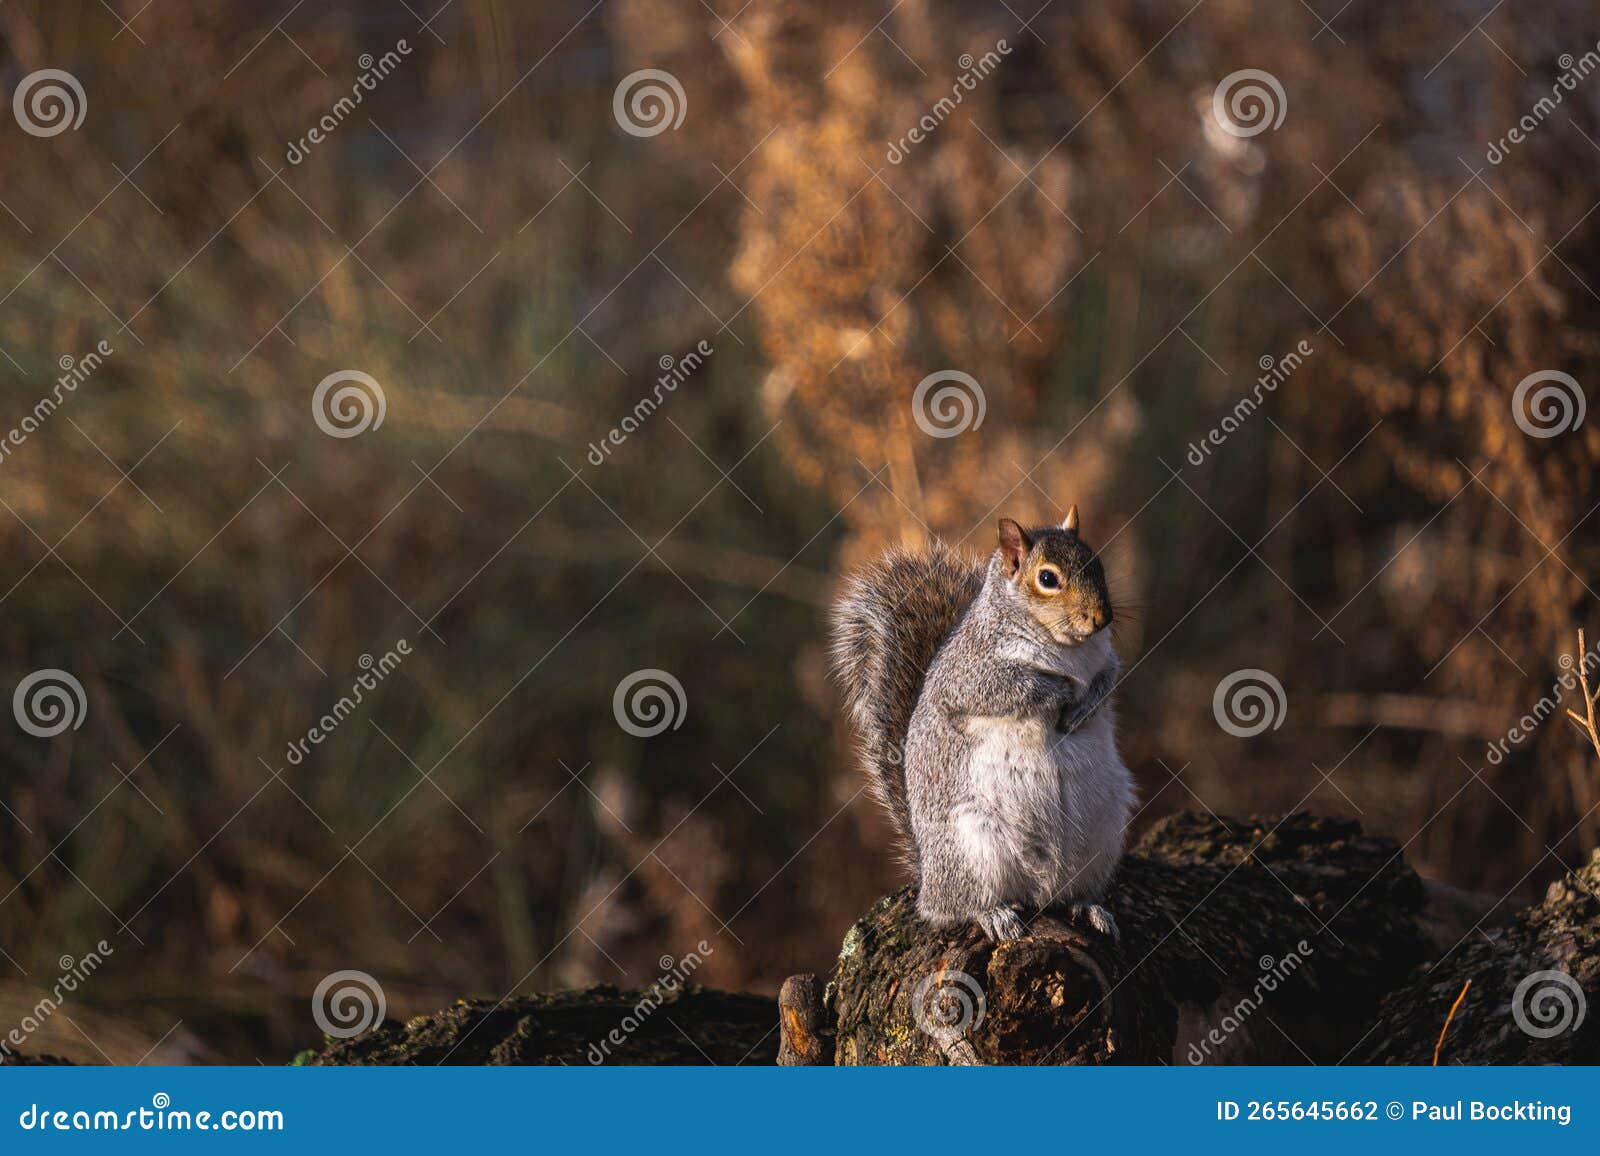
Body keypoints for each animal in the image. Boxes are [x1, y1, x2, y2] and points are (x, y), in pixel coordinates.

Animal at [830, 506, 1133, 943]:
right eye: (1047, 579)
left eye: (1098, 564)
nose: (1101, 617)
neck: (1066, 646)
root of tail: (929, 880)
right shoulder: (970, 674)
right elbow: (1006, 689)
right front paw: (1060, 689)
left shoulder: (1106, 659)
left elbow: (1108, 680)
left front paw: (1083, 708)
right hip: (974, 848)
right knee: (960, 907)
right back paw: (995, 915)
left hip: (1102, 835)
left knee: (1067, 895)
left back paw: (1088, 906)